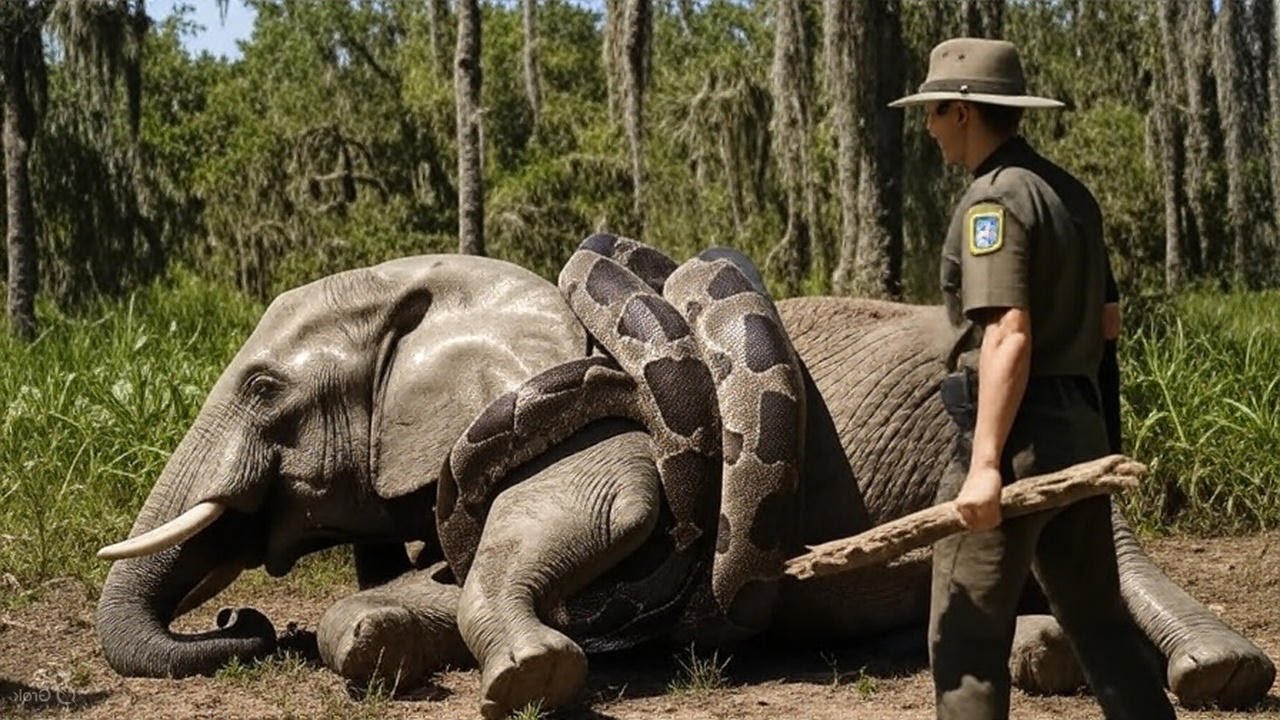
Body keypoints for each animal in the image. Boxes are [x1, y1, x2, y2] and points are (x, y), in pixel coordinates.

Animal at [96, 248, 1275, 719]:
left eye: (263, 390)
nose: (244, 620)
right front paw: (380, 632)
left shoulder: (603, 418)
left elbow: (572, 519)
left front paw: (529, 671)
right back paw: (1049, 652)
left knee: (1102, 544)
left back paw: (1209, 671)